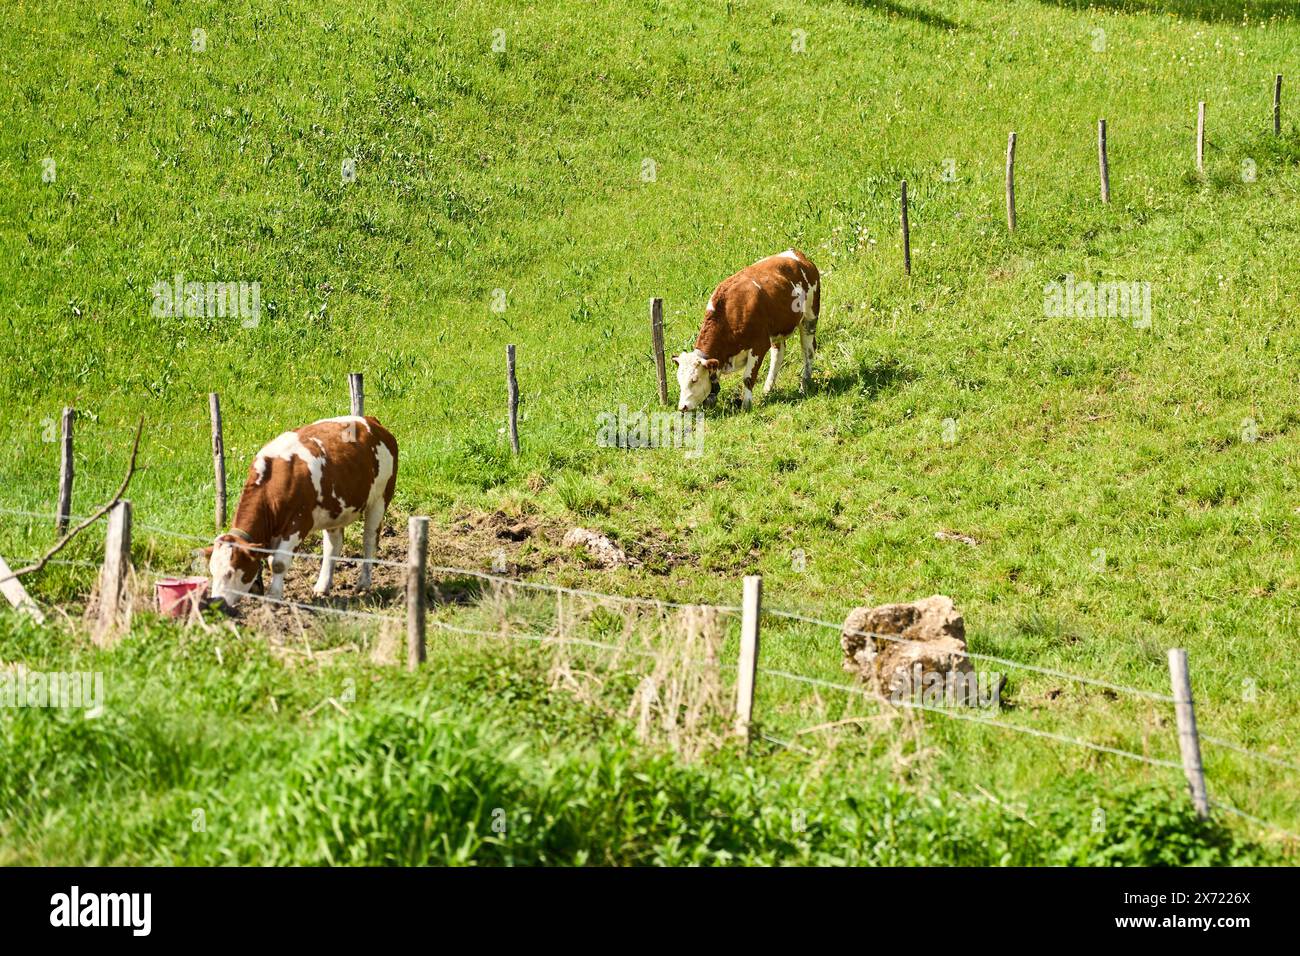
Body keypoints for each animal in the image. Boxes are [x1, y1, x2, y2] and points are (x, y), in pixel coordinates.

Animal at [206, 416, 398, 607]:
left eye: (230, 572)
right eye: (212, 571)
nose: (217, 601)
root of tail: (371, 421)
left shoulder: (299, 523)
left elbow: (278, 563)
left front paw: (273, 596)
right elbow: (270, 560)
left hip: (380, 499)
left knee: (369, 539)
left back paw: (364, 583)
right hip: (334, 511)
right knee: (333, 546)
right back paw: (322, 586)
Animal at [673, 249, 821, 412]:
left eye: (694, 379)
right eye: (679, 380)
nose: (682, 407)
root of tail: (796, 254)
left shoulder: (759, 346)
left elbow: (748, 379)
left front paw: (746, 406)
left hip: (810, 317)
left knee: (808, 351)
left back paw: (804, 385)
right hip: (777, 331)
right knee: (778, 355)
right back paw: (768, 389)